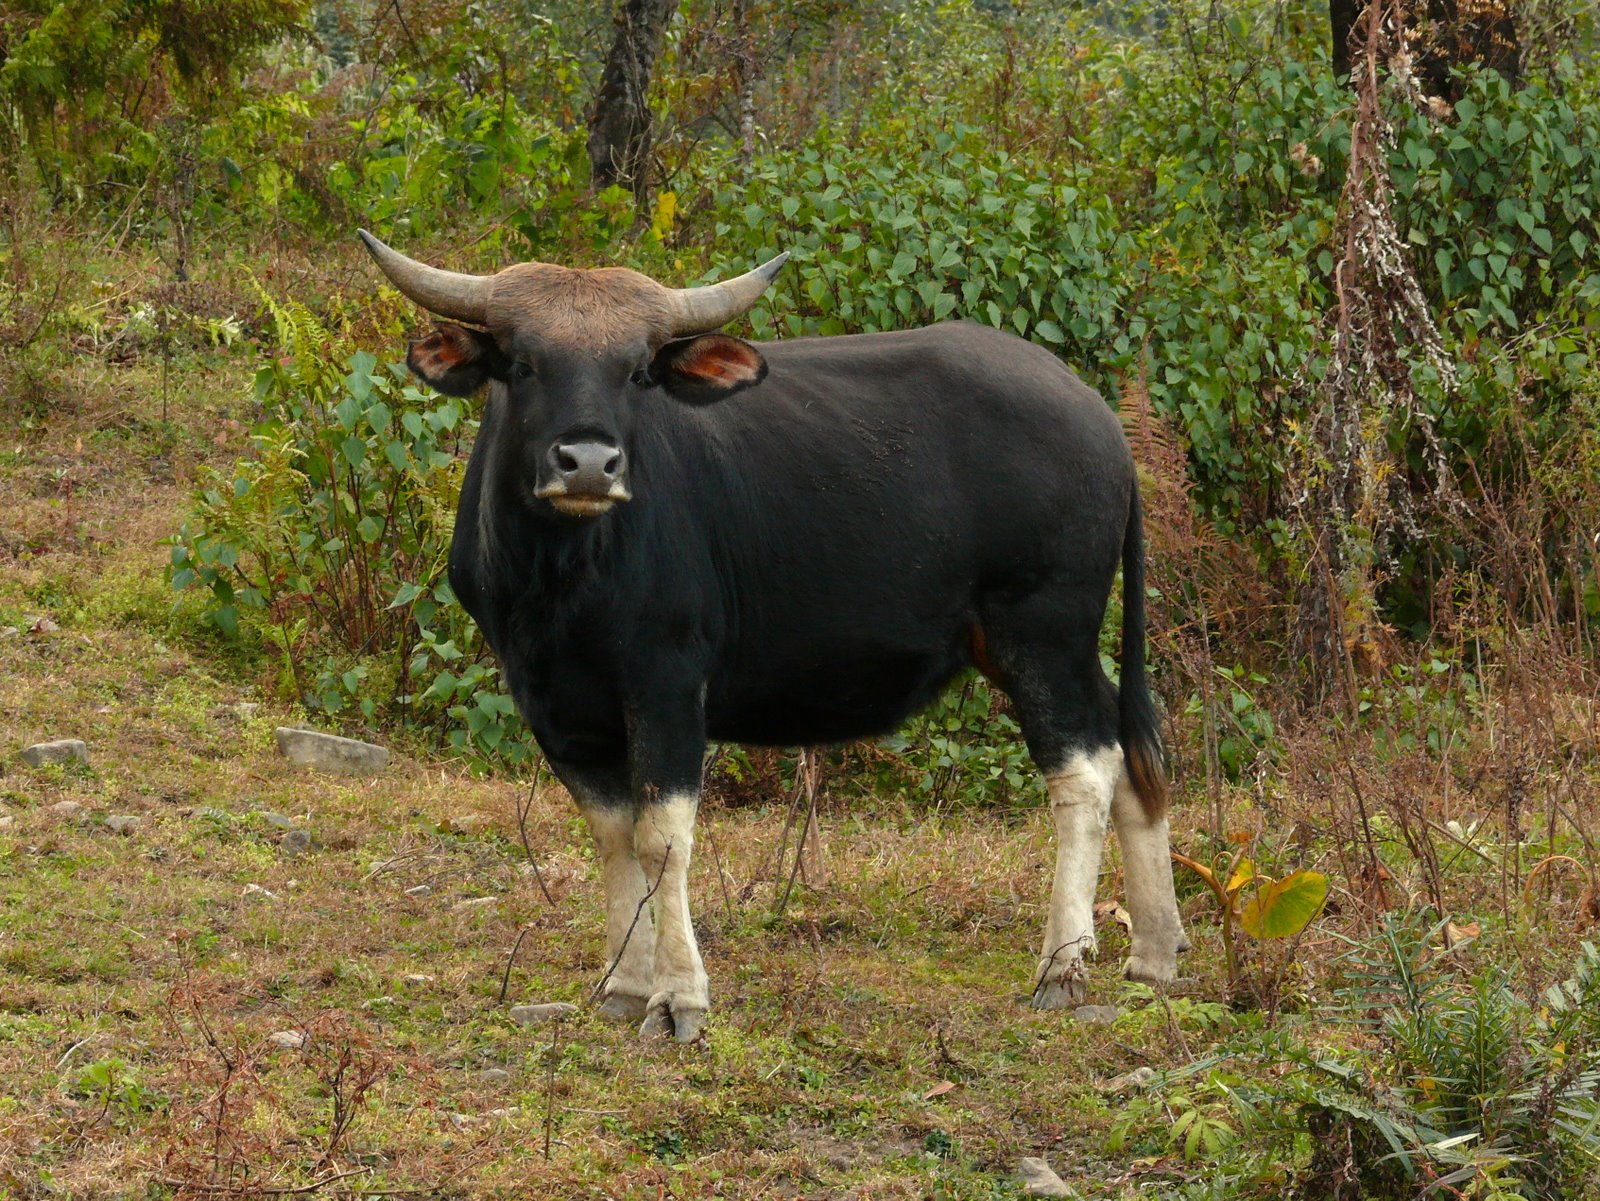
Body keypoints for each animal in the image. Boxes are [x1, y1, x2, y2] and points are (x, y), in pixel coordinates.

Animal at [358, 230, 1188, 1041]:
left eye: (636, 371)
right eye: (524, 363)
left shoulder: (666, 682)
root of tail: (1099, 418)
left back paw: (1064, 964)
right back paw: (1153, 950)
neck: (565, 579)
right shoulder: (549, 700)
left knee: (1084, 770)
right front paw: (623, 985)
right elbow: (612, 834)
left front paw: (678, 998)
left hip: (1042, 629)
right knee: (1128, 751)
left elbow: (661, 835)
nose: (589, 462)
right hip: (1038, 642)